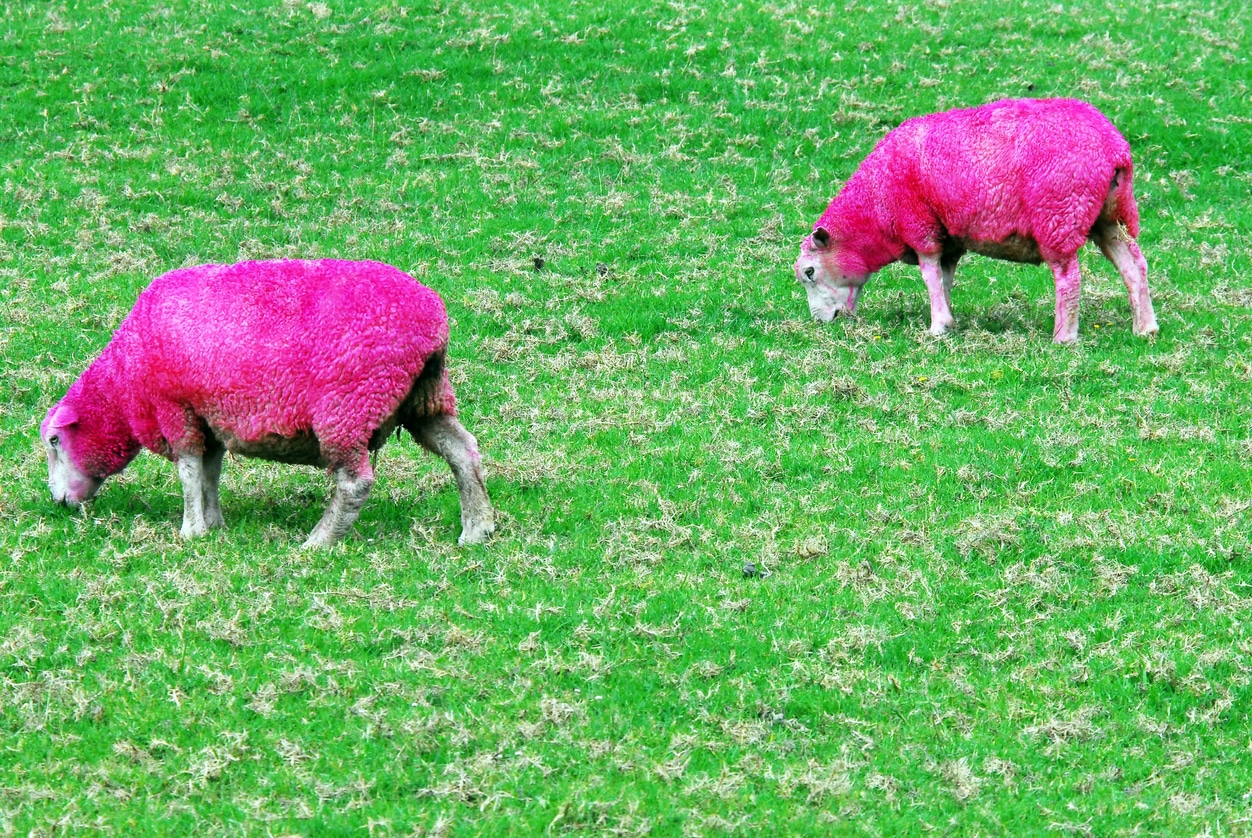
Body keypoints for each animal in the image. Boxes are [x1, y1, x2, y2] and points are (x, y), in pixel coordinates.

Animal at [39, 259, 496, 549]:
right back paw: (477, 529)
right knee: (463, 452)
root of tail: (432, 320)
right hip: (424, 398)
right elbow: (210, 473)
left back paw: (320, 541)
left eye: (54, 442)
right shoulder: (210, 416)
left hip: (348, 403)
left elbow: (188, 471)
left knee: (355, 482)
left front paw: (190, 530)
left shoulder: (176, 409)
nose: (58, 502)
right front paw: (214, 524)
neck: (124, 379)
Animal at [793, 98, 1159, 343]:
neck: (875, 203)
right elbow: (944, 277)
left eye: (809, 272)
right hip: (1109, 215)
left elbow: (929, 275)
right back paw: (1144, 328)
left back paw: (1063, 337)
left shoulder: (920, 226)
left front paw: (937, 327)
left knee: (1069, 277)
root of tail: (1114, 148)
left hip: (1060, 211)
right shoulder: (948, 236)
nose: (821, 322)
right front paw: (948, 319)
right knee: (1133, 265)